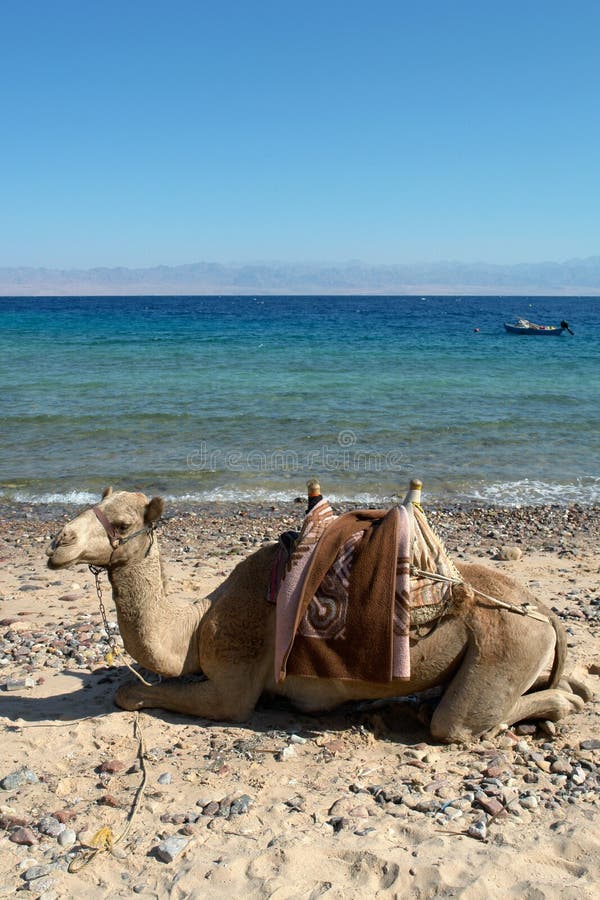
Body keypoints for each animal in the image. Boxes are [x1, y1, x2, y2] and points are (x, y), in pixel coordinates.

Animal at [45, 487, 590, 743]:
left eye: (121, 524)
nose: (57, 542)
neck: (195, 627)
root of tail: (540, 607)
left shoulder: (234, 686)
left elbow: (133, 693)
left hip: (506, 643)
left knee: (457, 723)